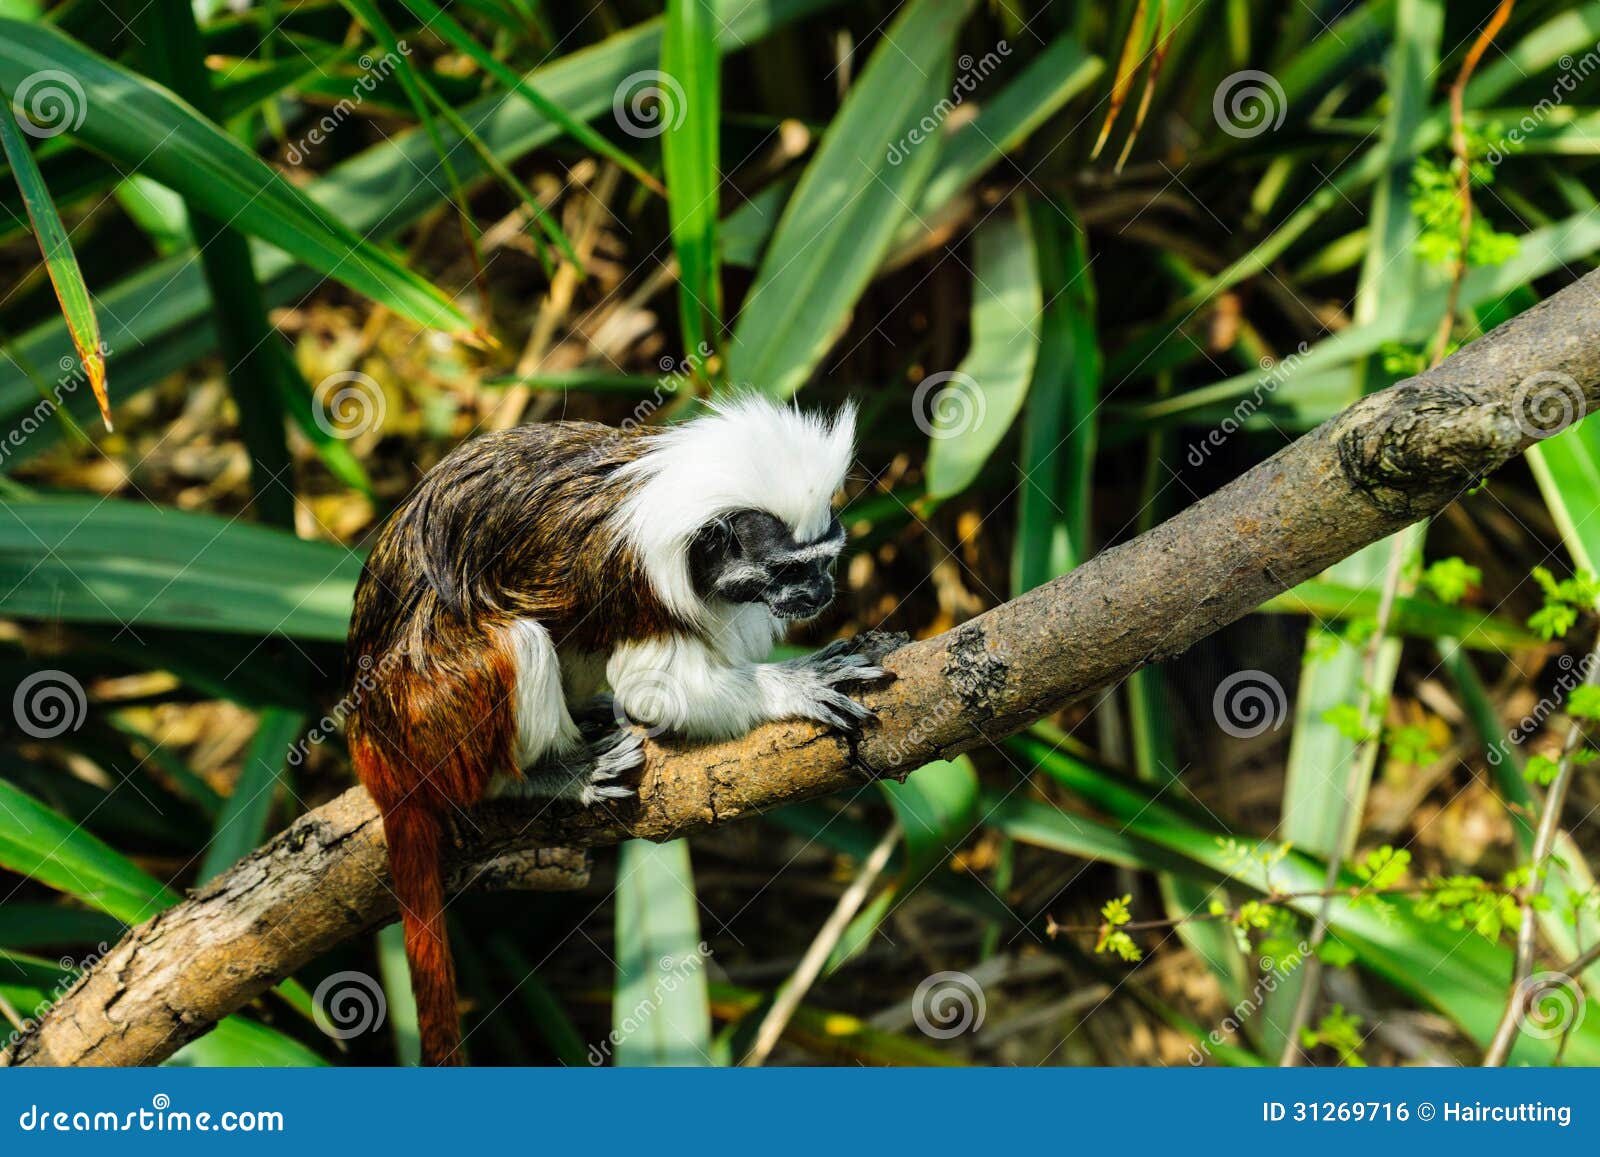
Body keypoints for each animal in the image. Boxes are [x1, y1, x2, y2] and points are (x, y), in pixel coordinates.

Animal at [344, 396, 883, 1066]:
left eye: (825, 561)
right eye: (788, 569)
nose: (821, 591)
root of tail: (373, 746)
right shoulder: (636, 580)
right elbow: (653, 687)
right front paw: (794, 683)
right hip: (427, 716)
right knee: (515, 640)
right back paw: (541, 776)